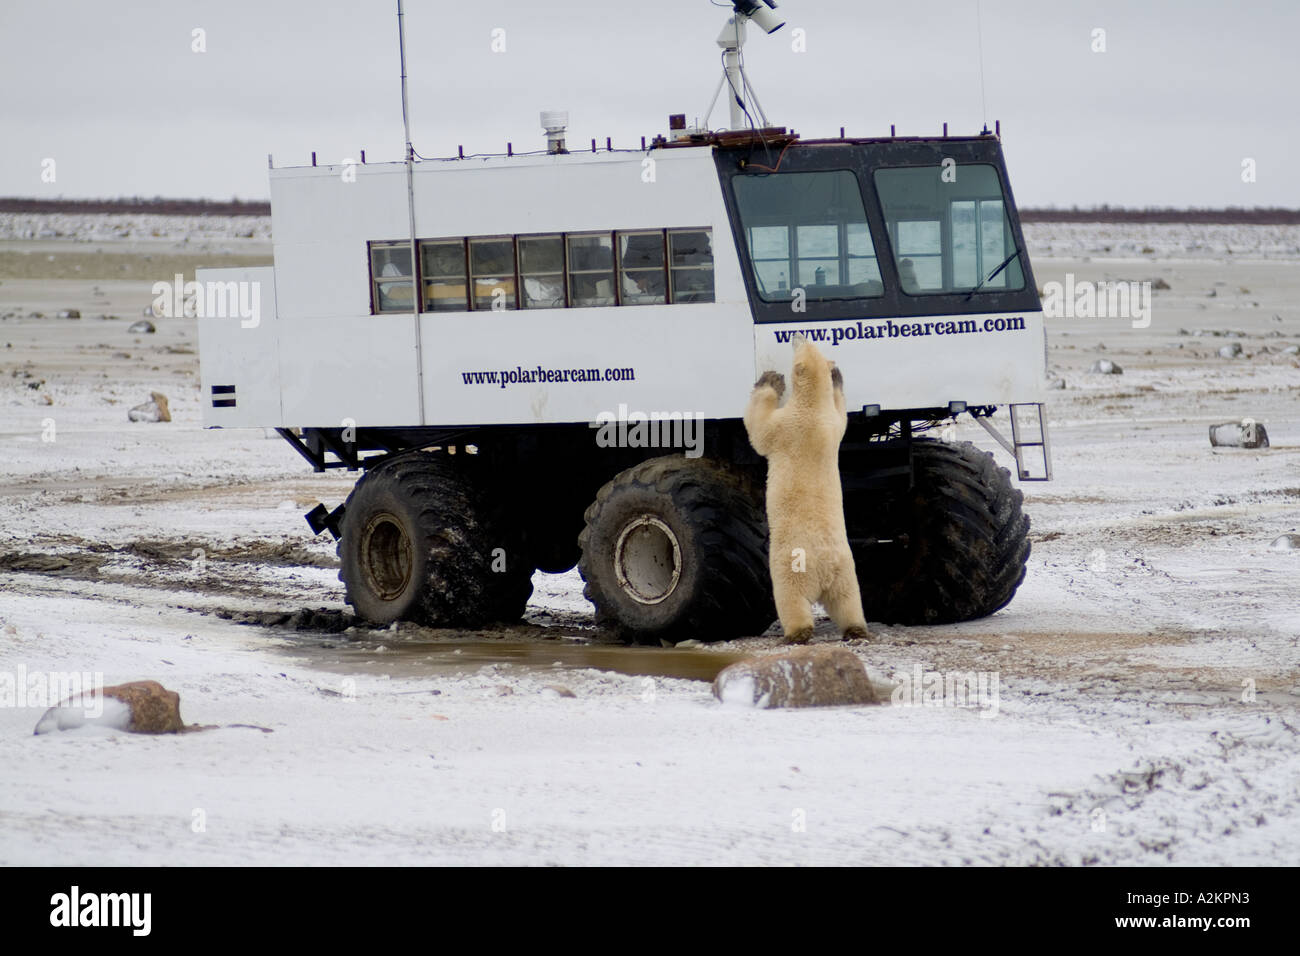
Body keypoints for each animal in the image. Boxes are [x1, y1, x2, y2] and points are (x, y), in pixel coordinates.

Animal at [743, 335, 870, 645]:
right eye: (809, 340)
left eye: (800, 344)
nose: (794, 335)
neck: (812, 408)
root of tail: (823, 568)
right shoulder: (832, 425)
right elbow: (841, 413)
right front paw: (836, 377)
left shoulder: (786, 426)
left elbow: (759, 429)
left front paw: (771, 379)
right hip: (845, 570)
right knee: (848, 600)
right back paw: (857, 629)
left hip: (790, 567)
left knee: (791, 599)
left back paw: (796, 633)